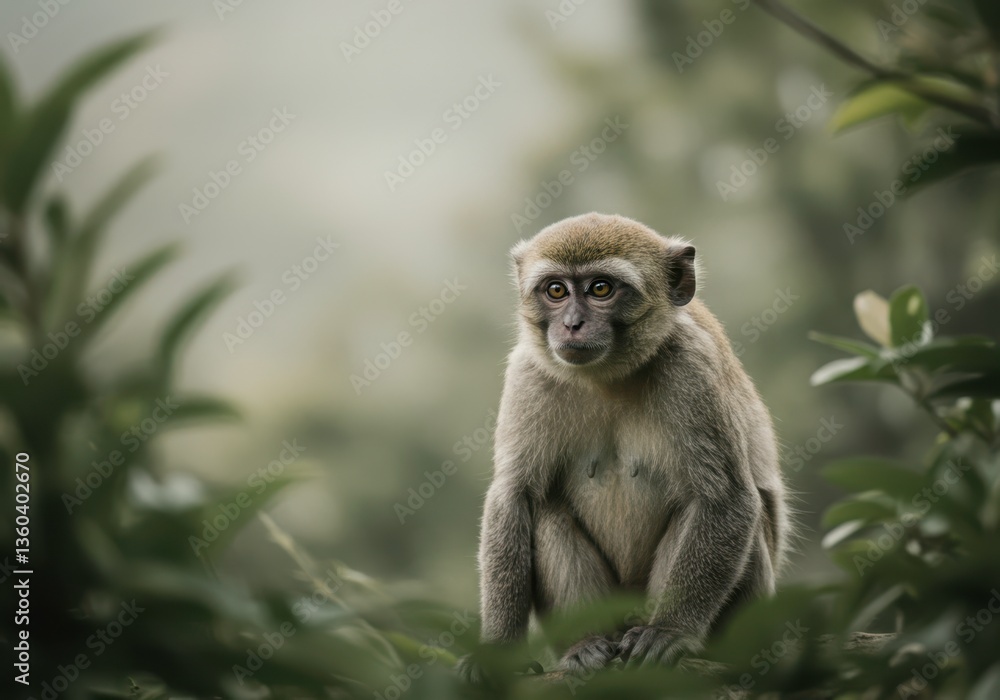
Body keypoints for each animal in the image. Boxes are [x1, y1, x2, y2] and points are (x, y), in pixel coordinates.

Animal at [458, 213, 788, 680]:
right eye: (556, 290)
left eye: (601, 289)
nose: (572, 324)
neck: (608, 378)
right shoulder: (528, 375)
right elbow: (514, 497)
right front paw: (499, 653)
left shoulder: (691, 367)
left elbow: (727, 499)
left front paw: (670, 631)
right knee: (546, 513)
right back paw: (587, 646)